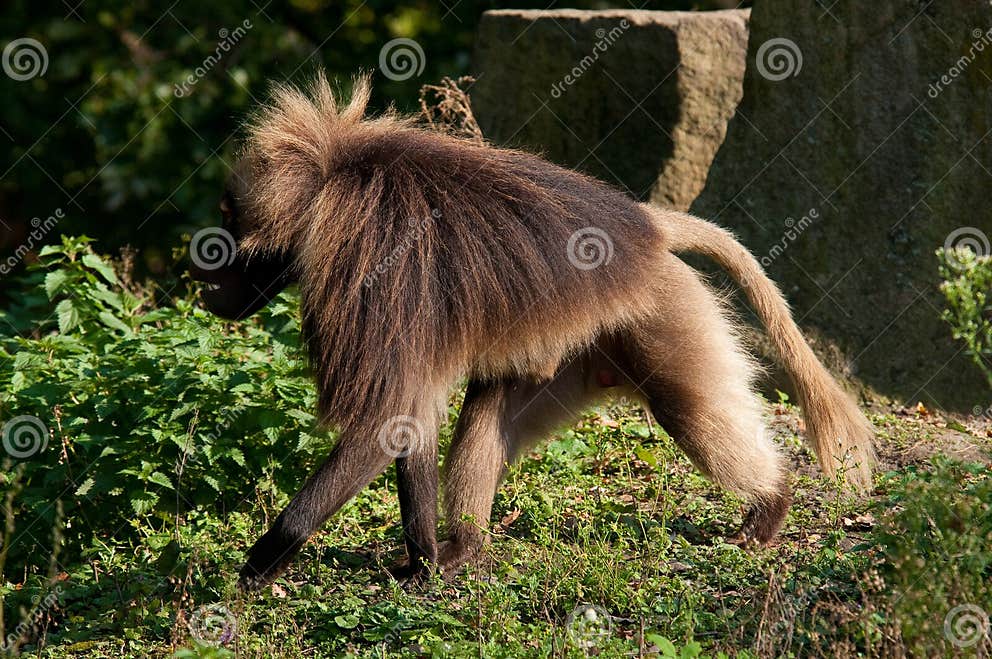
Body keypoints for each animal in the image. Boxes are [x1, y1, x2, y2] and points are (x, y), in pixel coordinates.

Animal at [188, 73, 875, 591]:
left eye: (228, 217)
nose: (201, 270)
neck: (328, 183)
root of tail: (650, 228)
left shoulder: (368, 274)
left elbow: (386, 417)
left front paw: (252, 572)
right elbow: (410, 415)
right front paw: (421, 564)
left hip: (663, 317)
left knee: (692, 411)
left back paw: (770, 509)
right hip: (566, 352)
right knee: (487, 412)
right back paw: (462, 548)